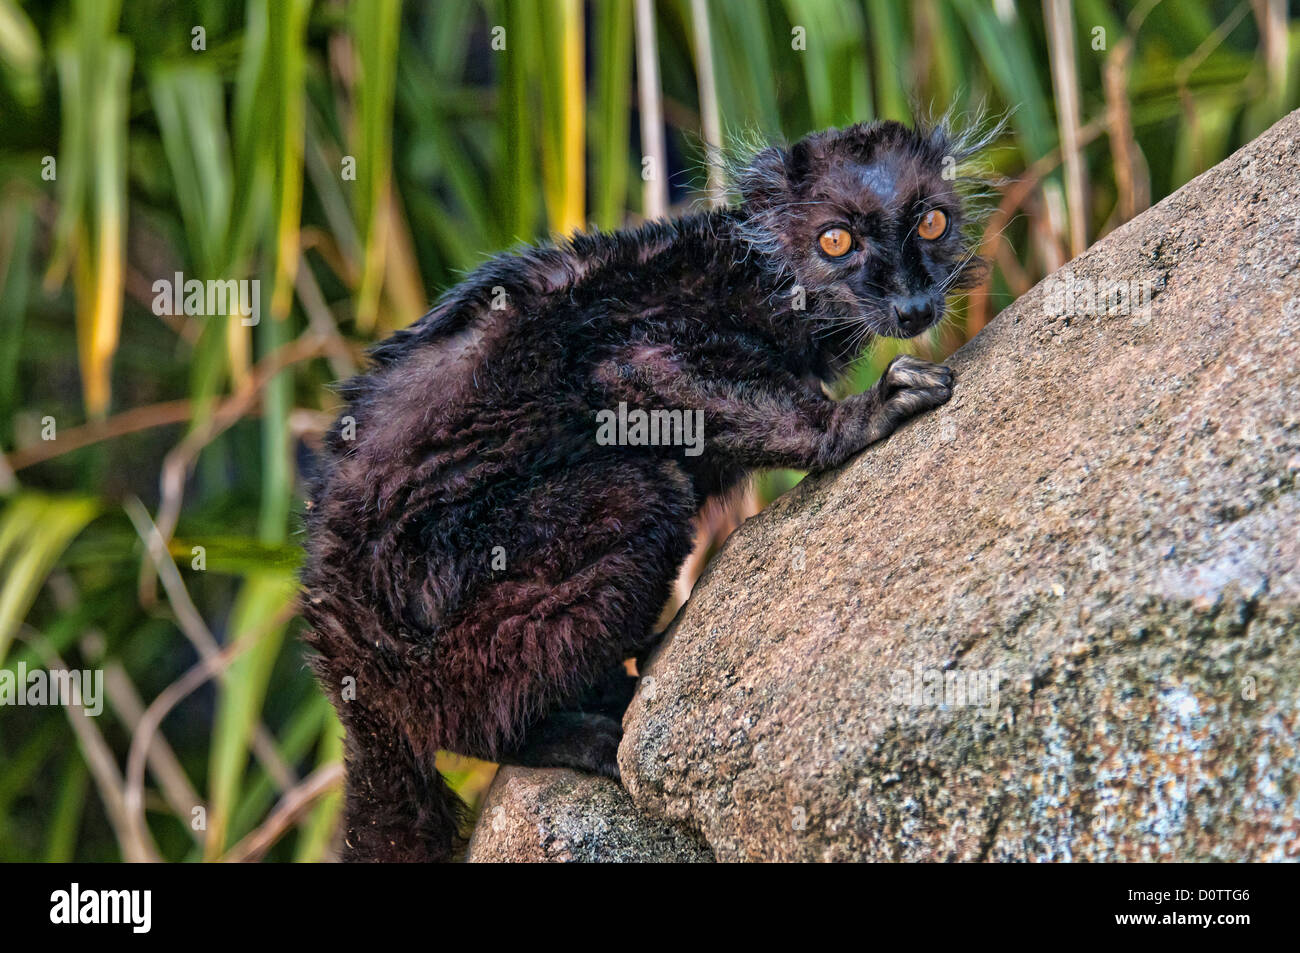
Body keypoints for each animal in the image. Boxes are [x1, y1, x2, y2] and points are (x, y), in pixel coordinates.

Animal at [300, 117, 997, 861]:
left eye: (932, 221)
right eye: (835, 240)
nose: (913, 304)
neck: (760, 277)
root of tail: (347, 664)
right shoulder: (636, 345)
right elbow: (640, 371)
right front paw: (858, 417)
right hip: (452, 610)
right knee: (636, 501)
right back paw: (578, 731)